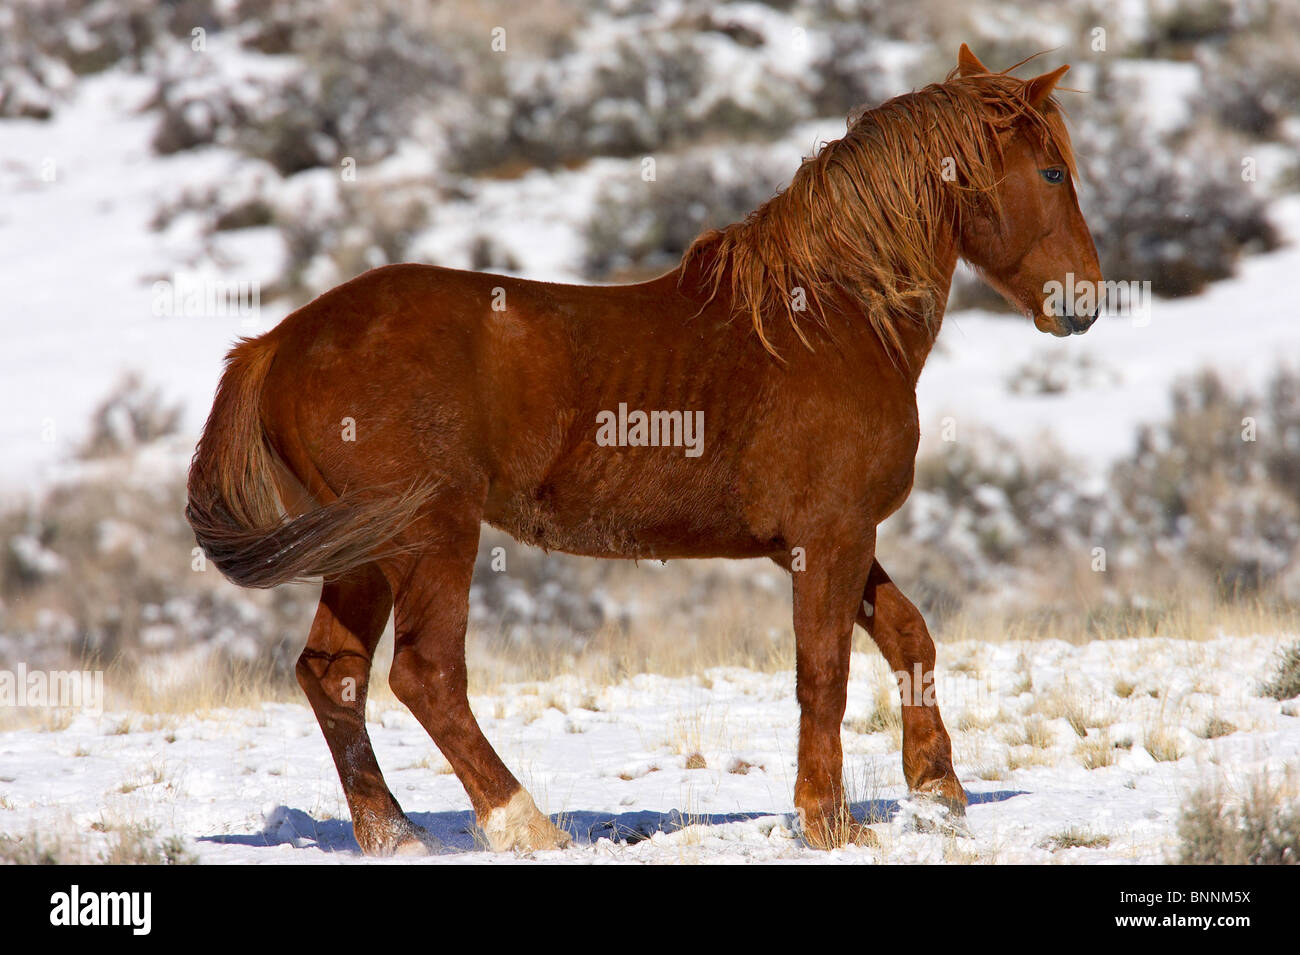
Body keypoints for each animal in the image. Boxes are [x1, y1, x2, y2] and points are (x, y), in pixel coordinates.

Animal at [186, 44, 1102, 854]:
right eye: (1053, 174)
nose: (1084, 302)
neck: (830, 317)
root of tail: (277, 342)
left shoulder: (821, 541)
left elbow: (909, 635)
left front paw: (938, 788)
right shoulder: (830, 535)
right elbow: (826, 672)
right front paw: (831, 820)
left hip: (364, 552)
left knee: (332, 672)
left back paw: (395, 834)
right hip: (430, 536)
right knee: (426, 674)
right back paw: (525, 824)